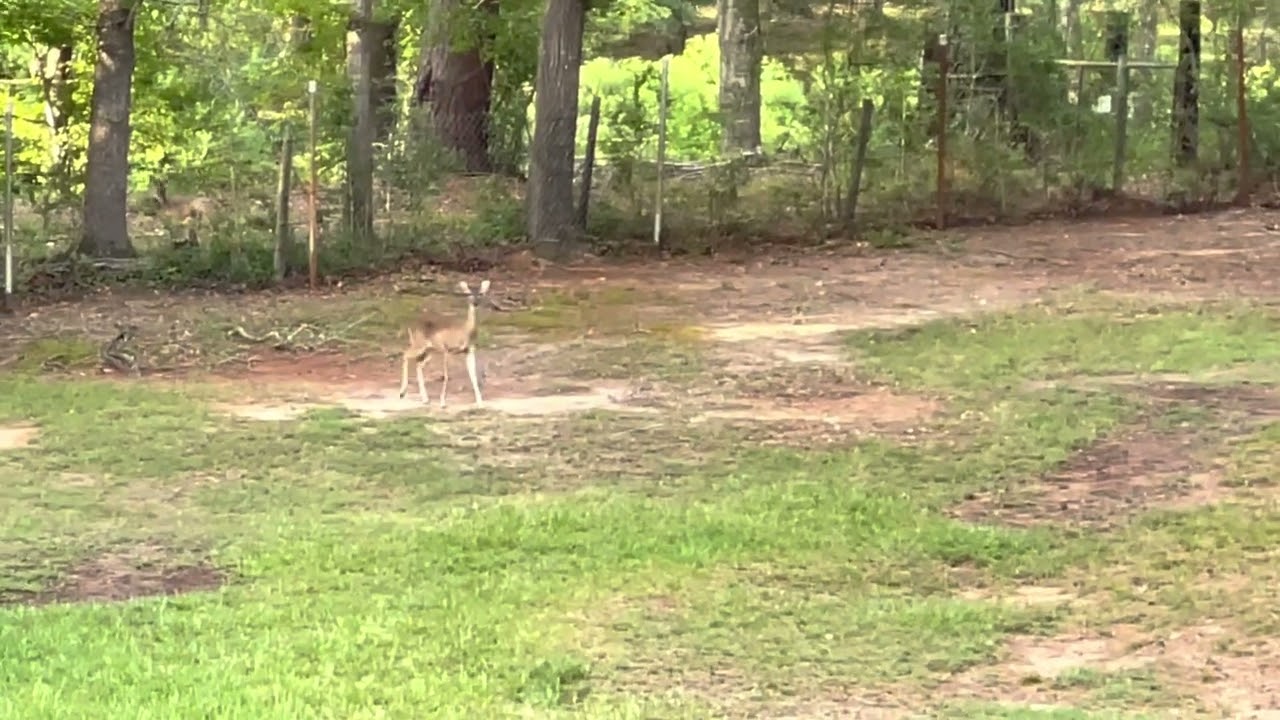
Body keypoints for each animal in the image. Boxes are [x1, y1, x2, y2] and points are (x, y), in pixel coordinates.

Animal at [399, 279, 491, 409]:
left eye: (481, 293)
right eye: (468, 294)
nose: (475, 303)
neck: (465, 331)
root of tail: (411, 324)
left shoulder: (469, 350)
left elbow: (473, 376)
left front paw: (480, 403)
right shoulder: (448, 349)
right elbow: (446, 376)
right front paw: (442, 403)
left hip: (430, 350)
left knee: (418, 364)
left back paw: (425, 399)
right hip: (418, 343)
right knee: (405, 354)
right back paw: (402, 392)